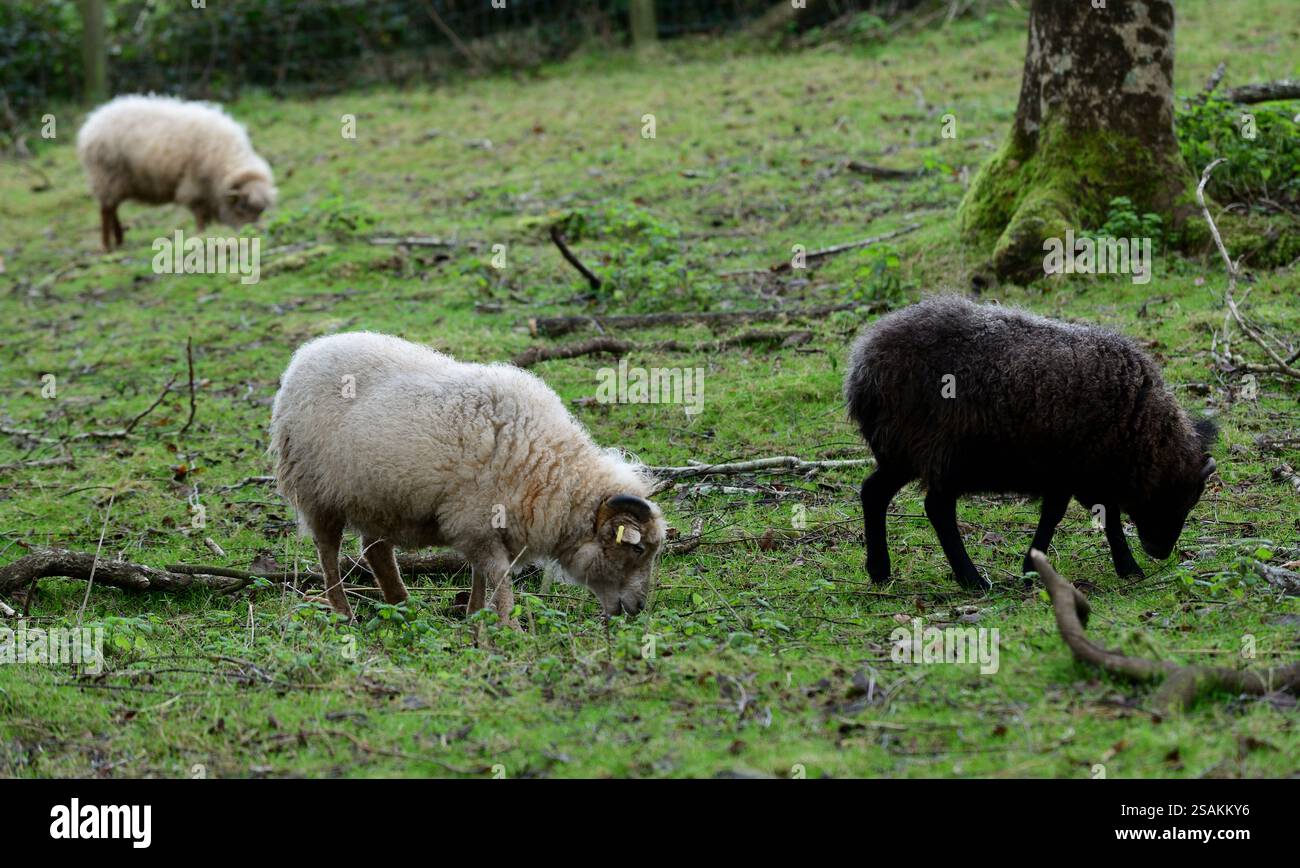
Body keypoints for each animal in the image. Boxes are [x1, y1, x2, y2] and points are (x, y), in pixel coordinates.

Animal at [76, 95, 276, 252]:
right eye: (242, 206)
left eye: (260, 211)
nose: (251, 234)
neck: (225, 160)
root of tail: (92, 123)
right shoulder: (195, 187)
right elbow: (200, 217)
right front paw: (201, 235)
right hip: (106, 176)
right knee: (106, 210)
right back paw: (107, 245)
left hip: (114, 181)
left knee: (112, 209)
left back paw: (119, 240)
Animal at [269, 331, 666, 623]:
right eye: (639, 548)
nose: (637, 608)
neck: (549, 469)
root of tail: (308, 352)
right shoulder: (476, 521)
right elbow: (500, 579)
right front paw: (508, 627)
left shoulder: (485, 529)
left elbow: (480, 575)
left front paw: (476, 616)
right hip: (317, 490)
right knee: (328, 552)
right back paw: (343, 611)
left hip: (378, 497)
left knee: (375, 549)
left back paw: (401, 605)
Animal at [843, 295, 1217, 590]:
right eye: (1184, 496)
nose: (1160, 552)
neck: (1138, 423)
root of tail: (863, 367)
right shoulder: (1082, 469)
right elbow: (1083, 516)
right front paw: (1126, 567)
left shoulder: (1074, 473)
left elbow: (1076, 514)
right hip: (941, 452)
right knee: (938, 509)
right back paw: (972, 580)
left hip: (902, 451)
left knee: (874, 492)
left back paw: (880, 571)